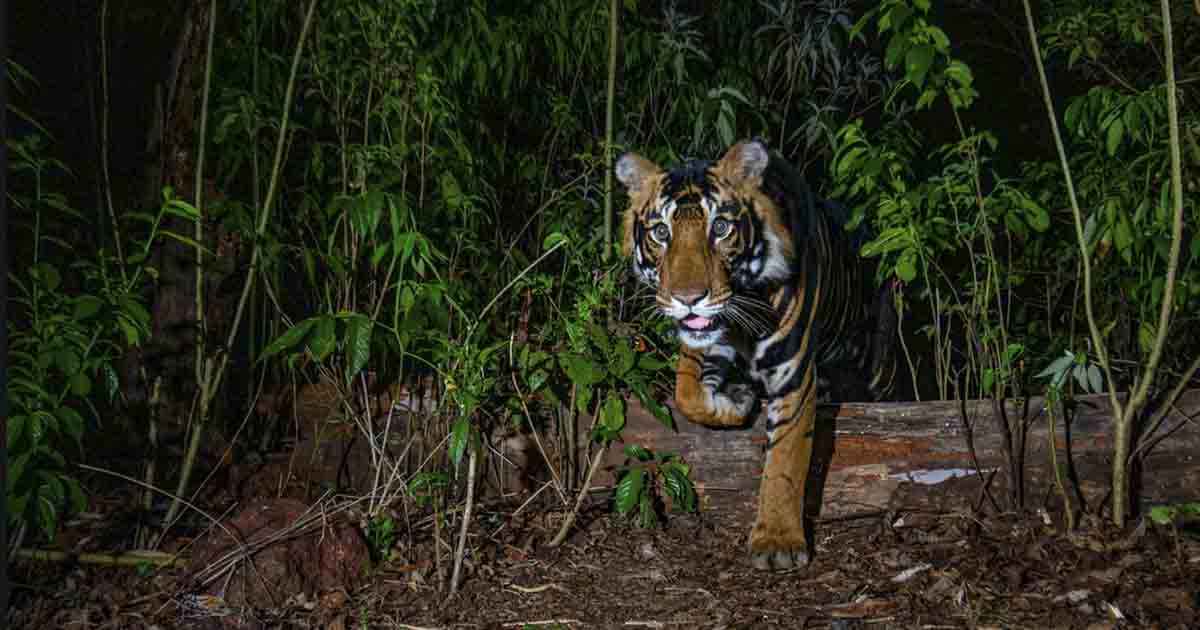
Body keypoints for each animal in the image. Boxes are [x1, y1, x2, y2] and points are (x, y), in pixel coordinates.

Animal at [616, 139, 898, 570]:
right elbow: (687, 394)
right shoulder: (705, 343)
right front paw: (736, 400)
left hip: (882, 363)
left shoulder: (792, 373)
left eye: (720, 228)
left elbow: (785, 458)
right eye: (661, 232)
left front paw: (777, 541)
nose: (687, 299)